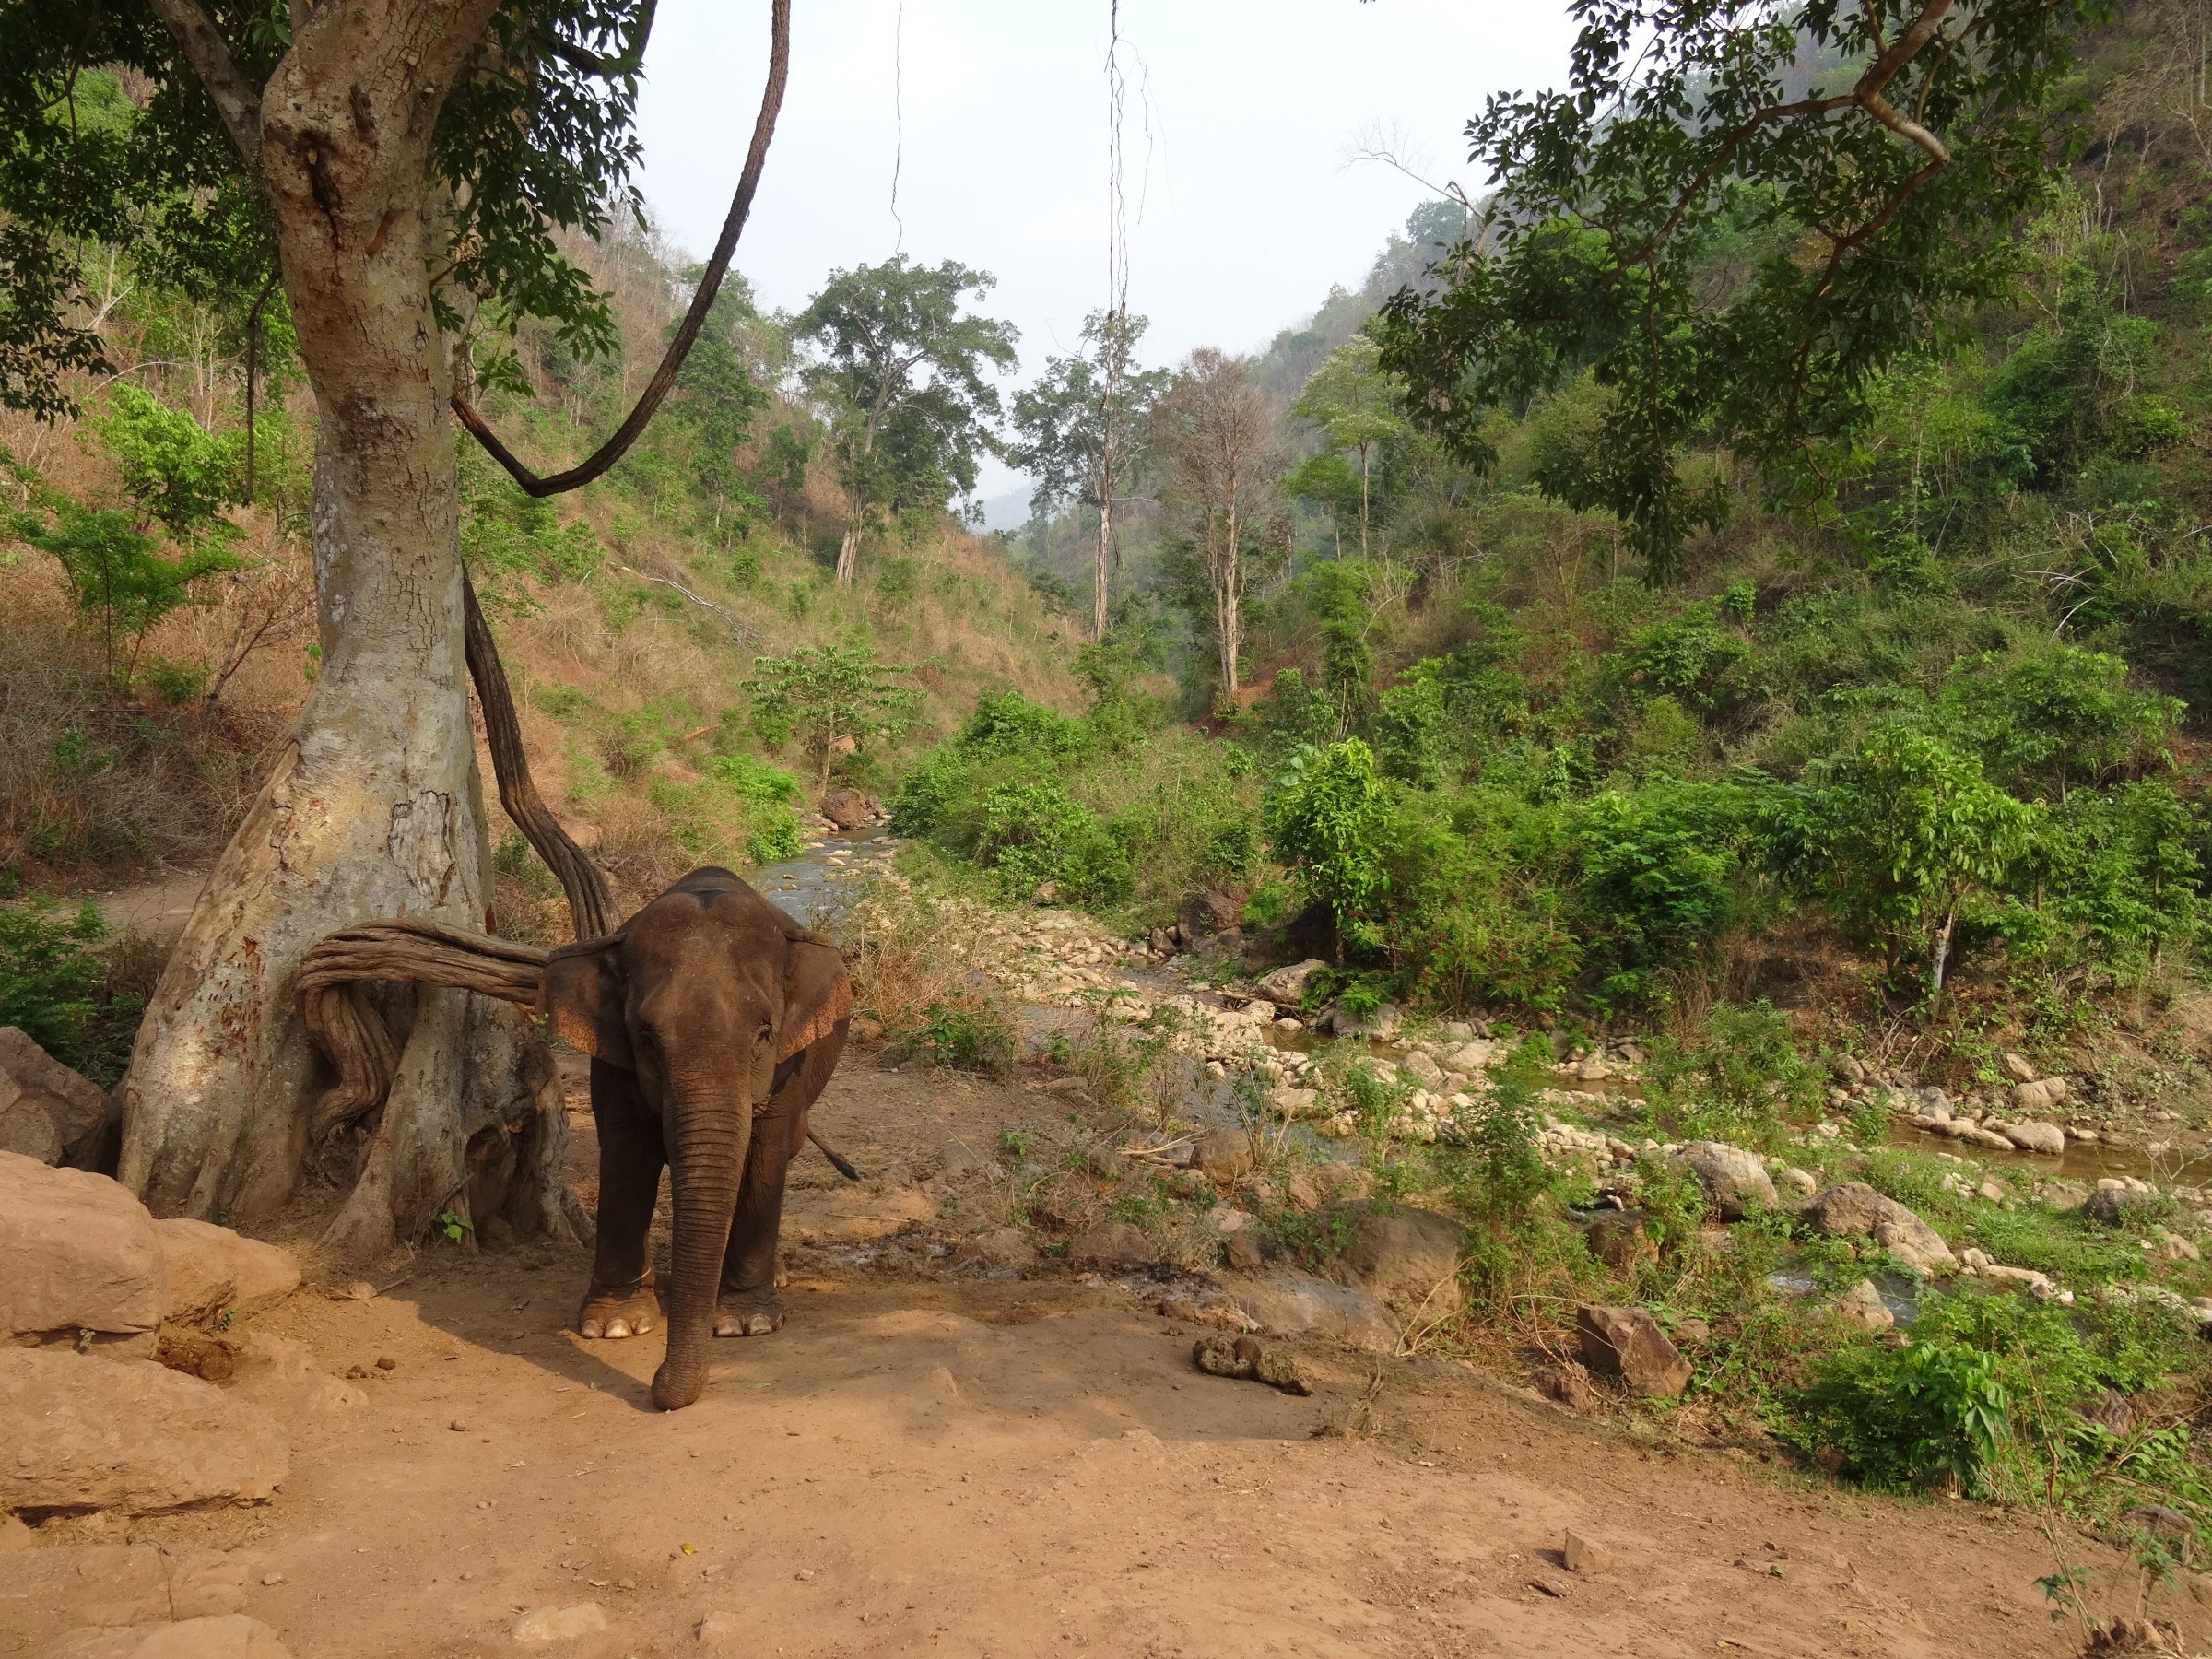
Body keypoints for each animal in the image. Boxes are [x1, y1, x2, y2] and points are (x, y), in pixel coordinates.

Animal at [541, 865, 851, 1411]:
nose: (657, 1388)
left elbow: (765, 1152)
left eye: (764, 1034)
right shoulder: (610, 1054)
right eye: (646, 1039)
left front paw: (744, 1324)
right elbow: (626, 1154)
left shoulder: (787, 1064)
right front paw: (613, 1325)